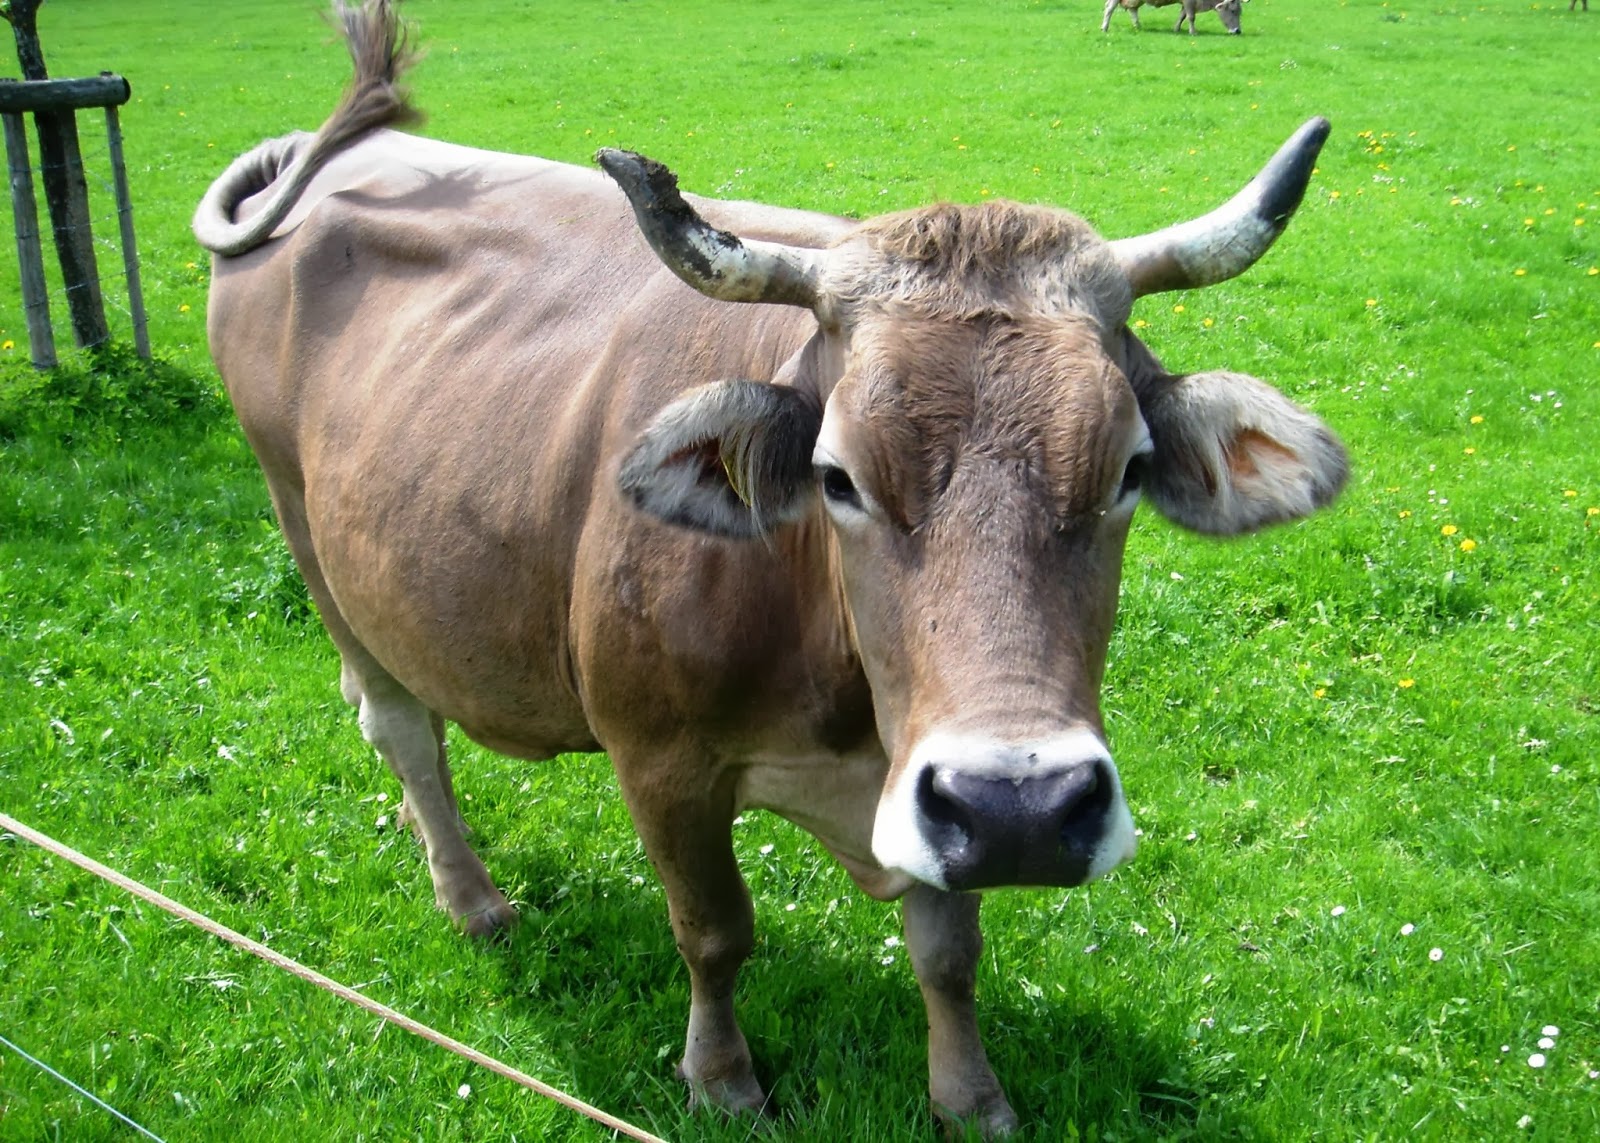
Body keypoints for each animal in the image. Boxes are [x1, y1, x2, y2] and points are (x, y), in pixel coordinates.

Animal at [194, 0, 1343, 1133]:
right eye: (837, 476)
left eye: (1129, 469)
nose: (1024, 808)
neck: (839, 699)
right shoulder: (660, 763)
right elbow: (713, 930)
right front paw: (720, 1077)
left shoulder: (932, 777)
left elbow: (950, 952)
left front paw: (971, 1097)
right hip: (306, 536)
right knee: (398, 725)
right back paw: (470, 896)